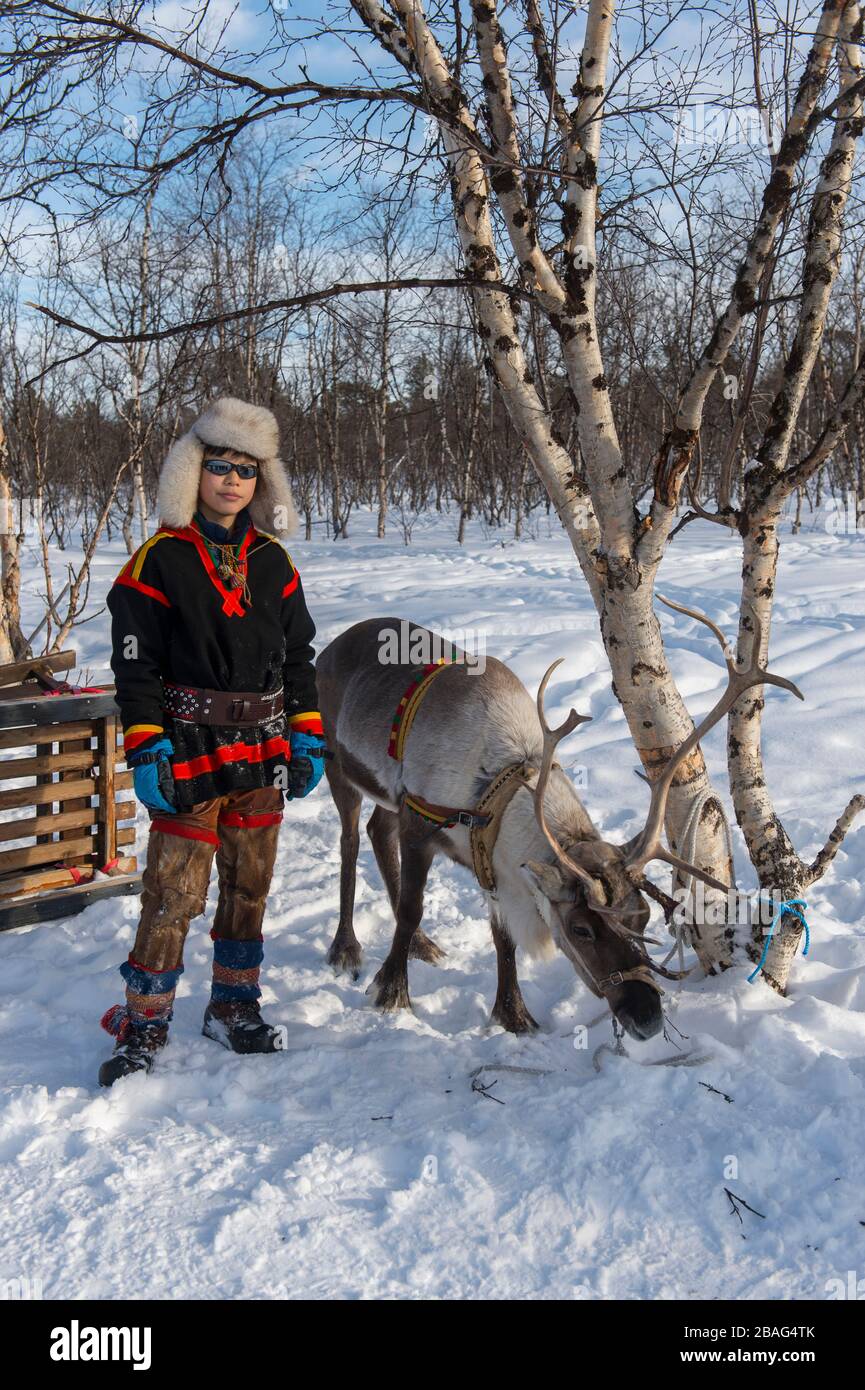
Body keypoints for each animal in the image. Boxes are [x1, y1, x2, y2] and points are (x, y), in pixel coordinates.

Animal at [314, 598, 802, 1040]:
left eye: (642, 917)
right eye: (581, 929)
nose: (646, 1018)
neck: (502, 781)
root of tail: (330, 647)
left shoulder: (492, 861)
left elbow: (503, 936)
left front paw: (513, 1016)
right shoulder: (420, 826)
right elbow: (412, 909)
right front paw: (390, 992)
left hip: (384, 795)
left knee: (377, 830)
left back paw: (420, 945)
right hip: (337, 764)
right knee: (350, 841)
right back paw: (346, 948)